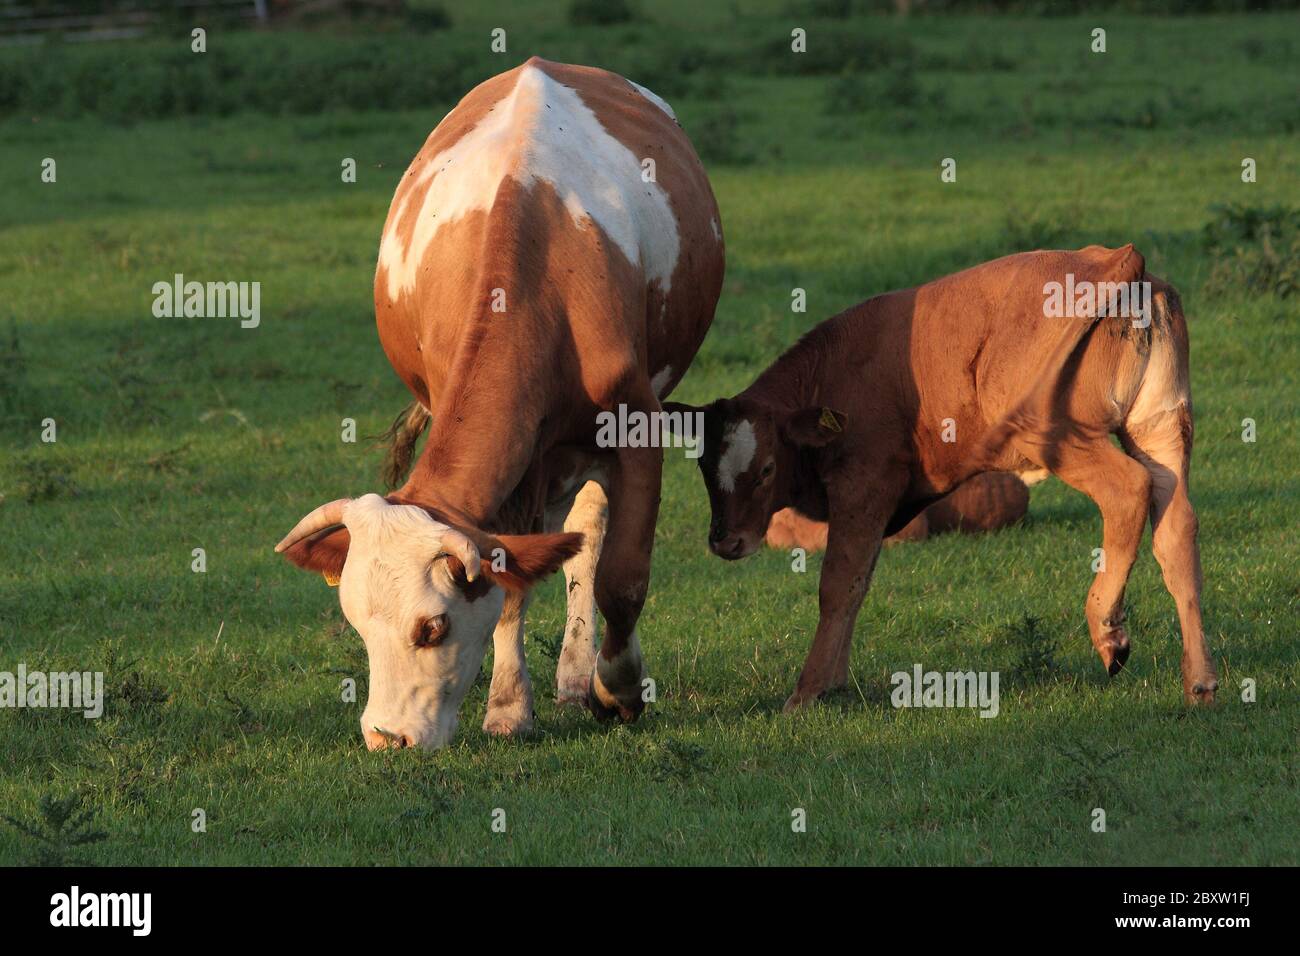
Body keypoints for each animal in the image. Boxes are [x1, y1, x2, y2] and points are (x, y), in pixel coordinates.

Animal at [275, 58, 725, 749]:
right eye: (357, 625)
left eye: (431, 628)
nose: (385, 739)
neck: (540, 274)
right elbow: (515, 584)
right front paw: (511, 706)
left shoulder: (637, 424)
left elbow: (622, 579)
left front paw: (618, 688)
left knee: (588, 538)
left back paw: (581, 675)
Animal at [667, 245, 1218, 710]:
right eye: (703, 466)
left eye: (765, 469)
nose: (725, 541)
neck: (835, 373)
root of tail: (1111, 259)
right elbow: (857, 584)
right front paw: (835, 682)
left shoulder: (864, 485)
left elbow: (838, 584)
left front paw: (807, 692)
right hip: (1160, 432)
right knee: (1176, 532)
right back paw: (1199, 680)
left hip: (1056, 434)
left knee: (1127, 492)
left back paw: (1107, 629)